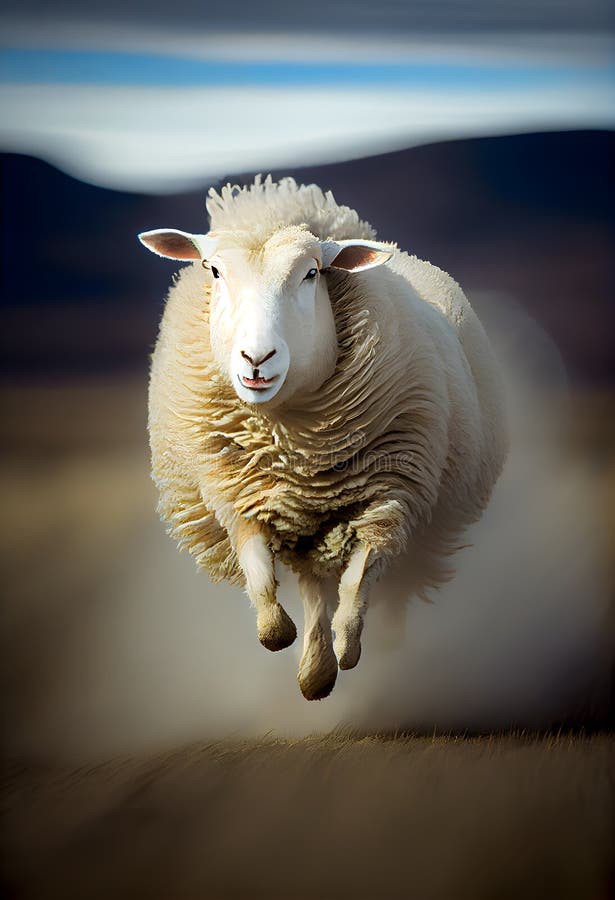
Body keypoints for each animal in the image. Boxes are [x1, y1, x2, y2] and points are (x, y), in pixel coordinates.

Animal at [139, 175, 508, 701]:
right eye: (213, 270)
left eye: (312, 273)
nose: (257, 359)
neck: (294, 447)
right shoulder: (239, 499)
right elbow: (262, 585)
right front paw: (284, 635)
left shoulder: (390, 497)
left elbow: (357, 582)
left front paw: (349, 646)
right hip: (306, 531)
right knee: (313, 589)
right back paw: (315, 672)